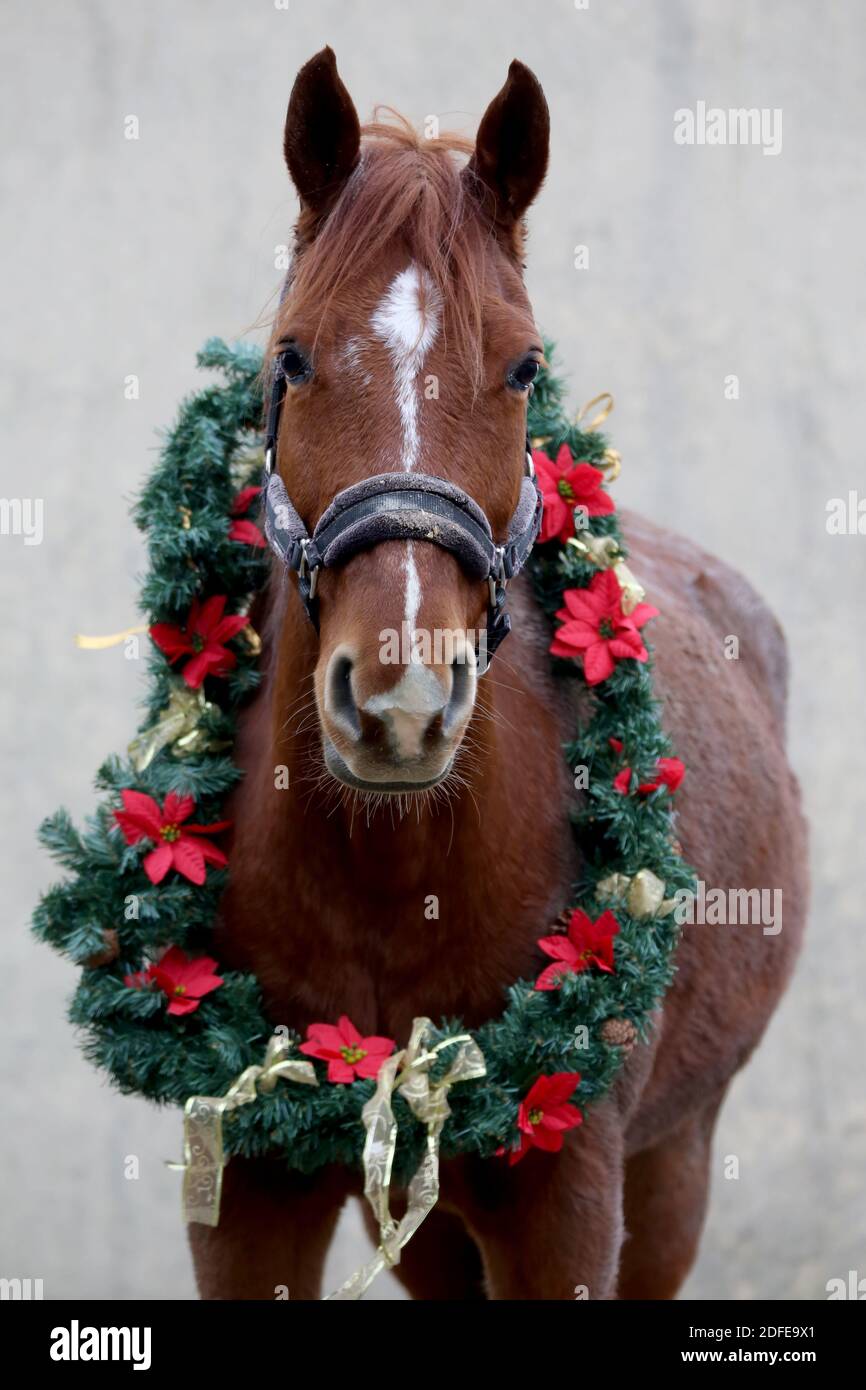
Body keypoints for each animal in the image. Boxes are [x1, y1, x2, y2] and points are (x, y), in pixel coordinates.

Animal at [189, 48, 807, 1300]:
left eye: (524, 364)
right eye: (291, 355)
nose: (400, 706)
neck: (387, 871)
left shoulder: (566, 1201)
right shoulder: (248, 1189)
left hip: (673, 1164)